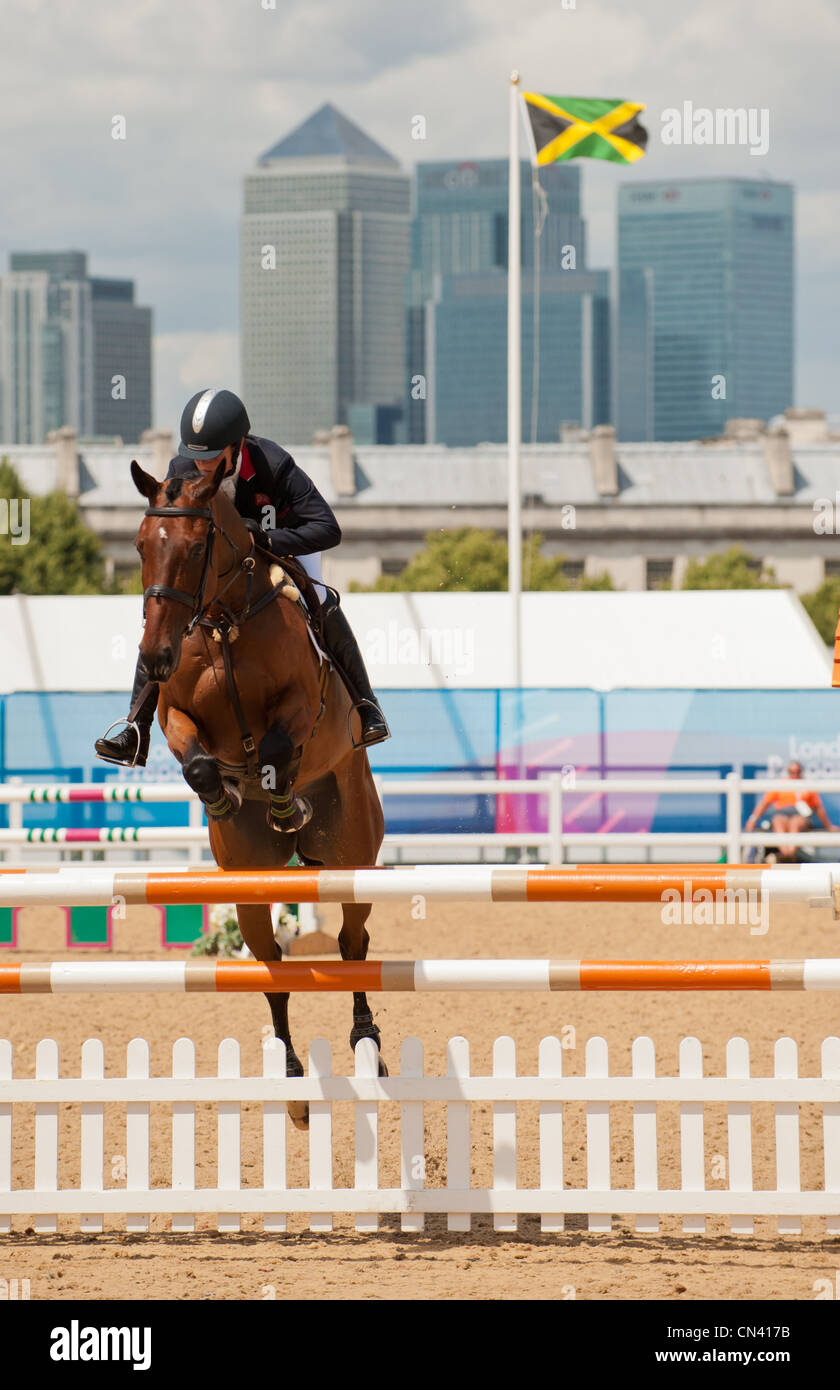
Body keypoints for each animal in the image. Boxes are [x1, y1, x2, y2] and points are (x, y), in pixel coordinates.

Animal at [129, 458, 385, 1126]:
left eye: (196, 549)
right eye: (140, 547)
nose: (155, 655)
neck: (223, 623)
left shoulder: (302, 705)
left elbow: (273, 748)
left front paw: (283, 801)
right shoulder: (175, 715)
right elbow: (196, 761)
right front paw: (224, 799)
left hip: (352, 854)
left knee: (353, 944)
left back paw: (366, 1041)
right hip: (248, 885)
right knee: (272, 965)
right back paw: (292, 1082)